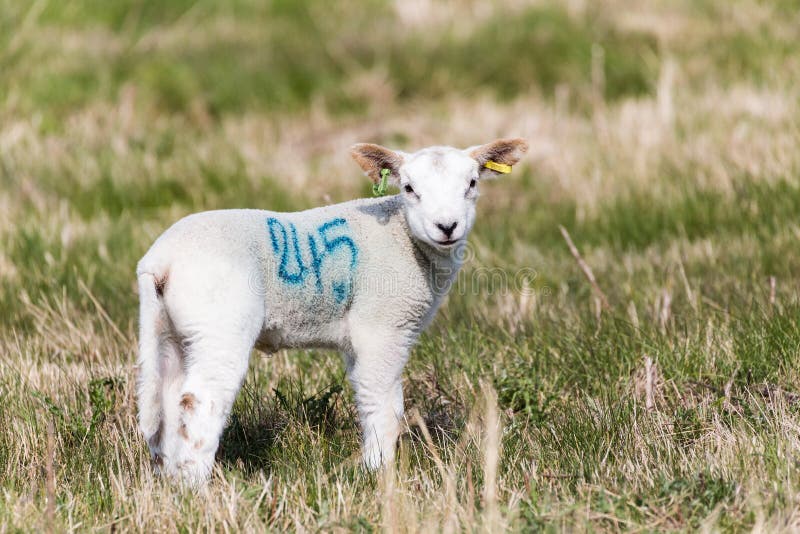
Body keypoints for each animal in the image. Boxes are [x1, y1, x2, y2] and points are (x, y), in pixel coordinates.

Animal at [136, 138, 528, 485]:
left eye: (472, 183)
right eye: (409, 188)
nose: (447, 227)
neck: (405, 238)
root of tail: (160, 261)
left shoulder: (360, 334)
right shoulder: (382, 325)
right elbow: (383, 402)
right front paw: (379, 471)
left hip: (171, 328)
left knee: (168, 401)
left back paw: (170, 480)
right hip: (220, 320)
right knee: (201, 399)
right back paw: (196, 487)